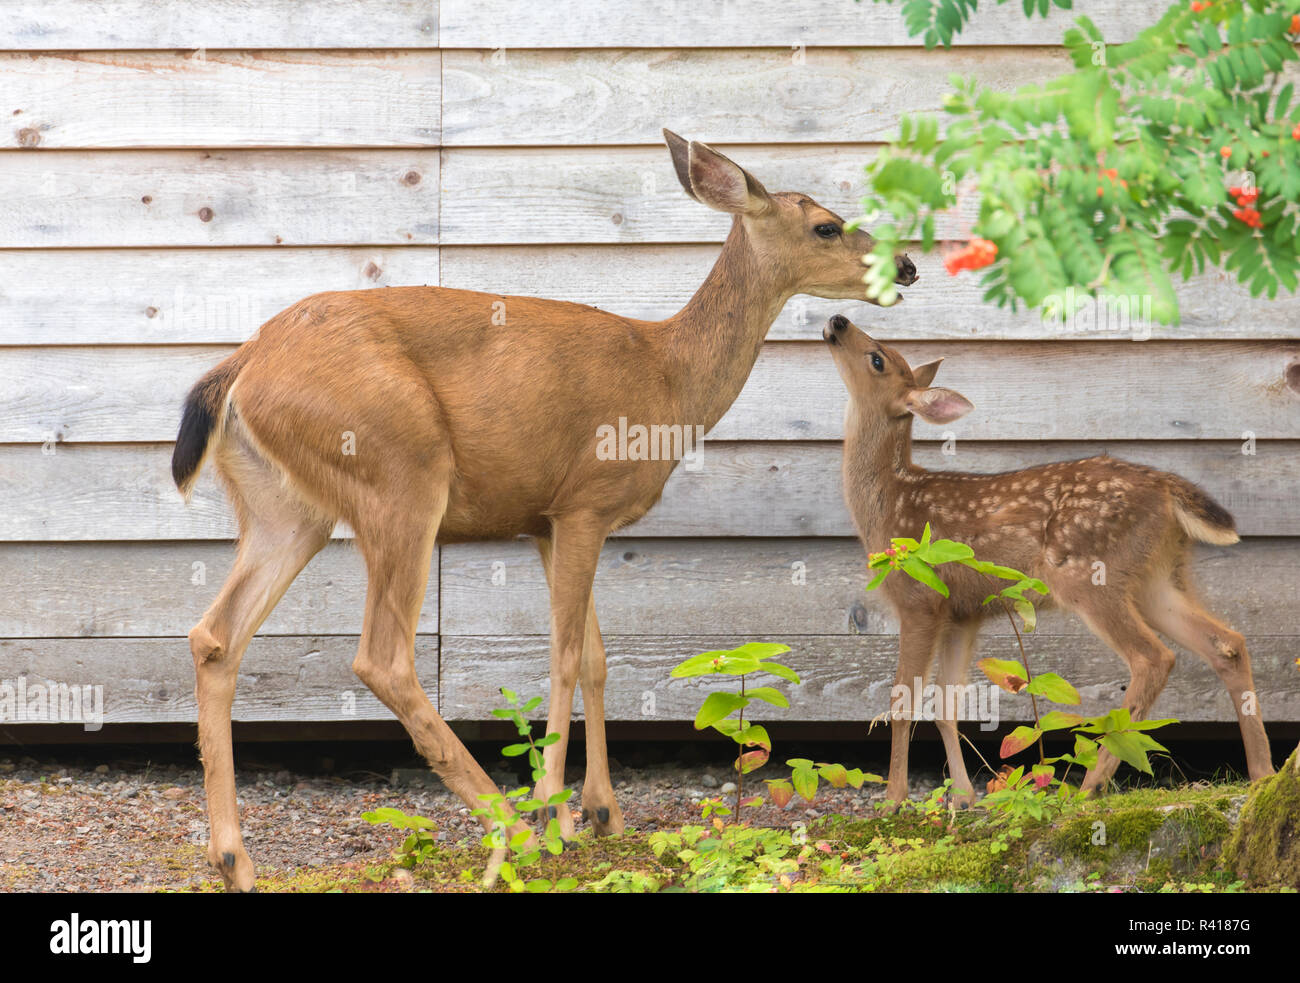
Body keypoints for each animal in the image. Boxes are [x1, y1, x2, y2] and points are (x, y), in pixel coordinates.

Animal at [170, 132, 920, 891]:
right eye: (826, 225)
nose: (909, 265)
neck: (670, 378)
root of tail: (241, 368)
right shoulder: (586, 499)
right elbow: (561, 655)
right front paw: (557, 817)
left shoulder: (547, 520)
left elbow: (595, 657)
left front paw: (602, 812)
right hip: (400, 474)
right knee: (382, 657)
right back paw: (509, 830)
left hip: (285, 507)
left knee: (214, 636)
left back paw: (233, 857)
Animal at [823, 313, 1275, 810]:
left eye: (877, 359)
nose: (838, 320)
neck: (889, 502)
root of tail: (1165, 487)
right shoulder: (962, 613)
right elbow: (946, 705)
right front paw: (964, 798)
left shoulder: (920, 598)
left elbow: (903, 701)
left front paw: (894, 800)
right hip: (1156, 576)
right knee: (1227, 643)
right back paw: (1263, 774)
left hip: (1086, 573)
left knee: (1153, 657)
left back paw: (1091, 786)